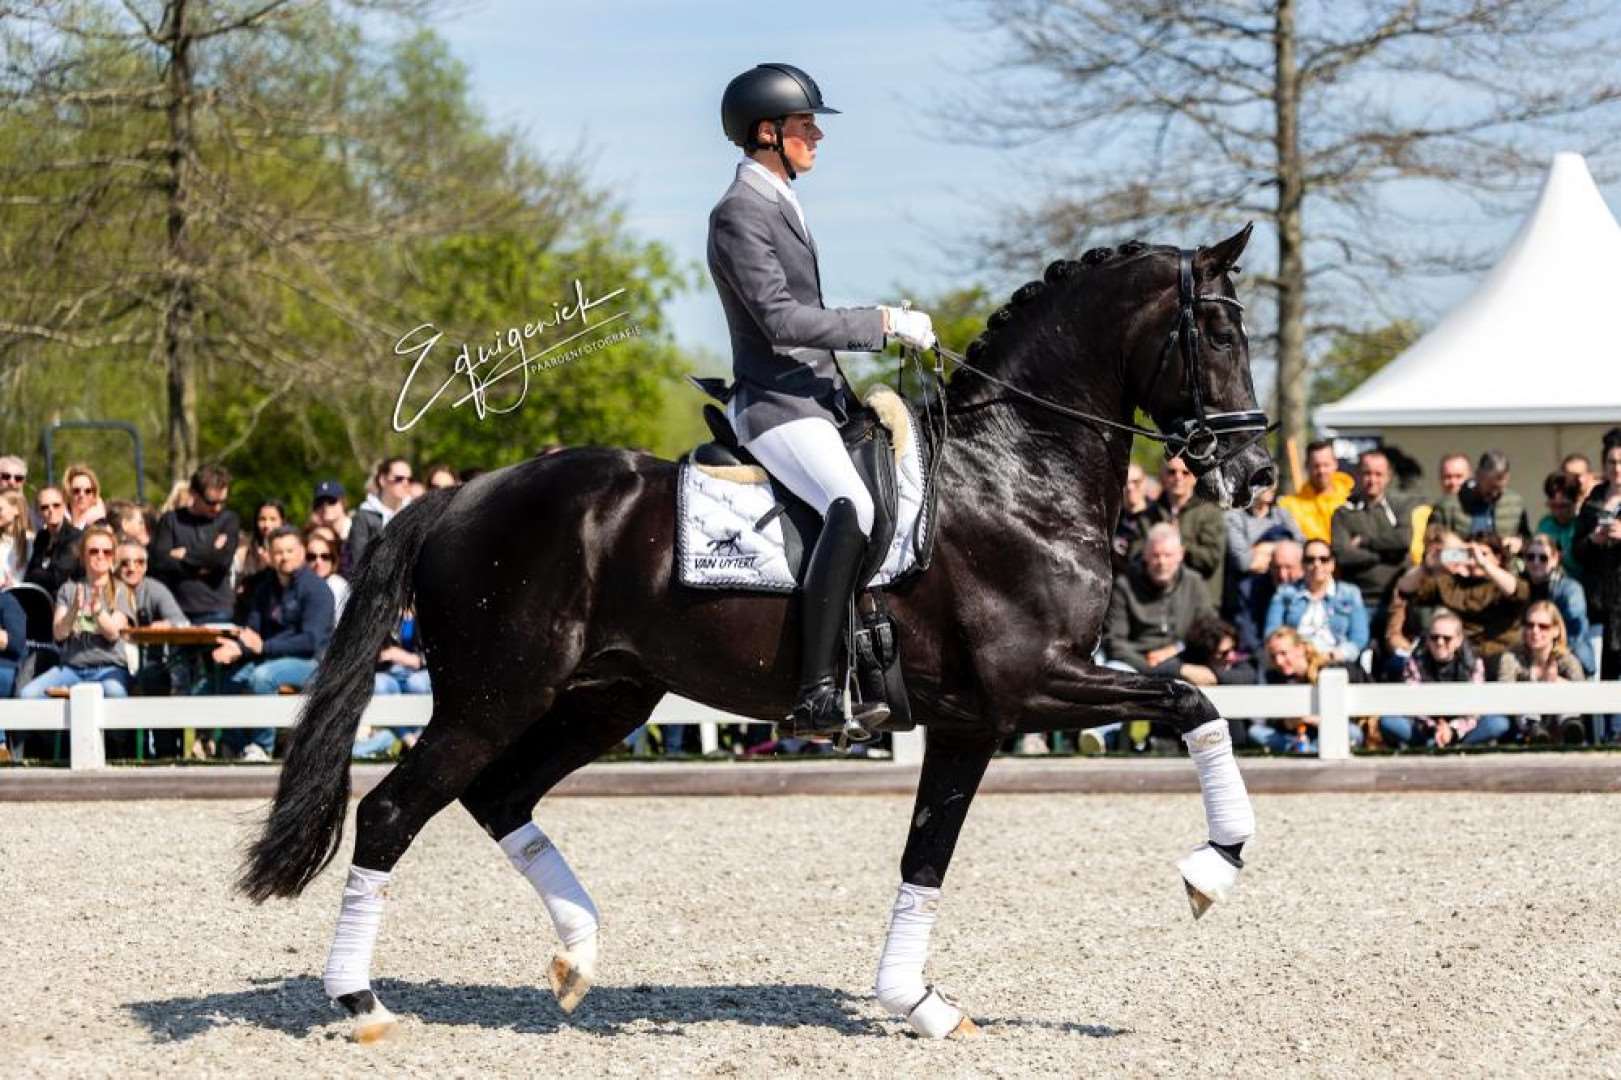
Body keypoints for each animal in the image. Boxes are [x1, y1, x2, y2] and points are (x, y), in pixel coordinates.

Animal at [239, 224, 1274, 1043]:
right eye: (1220, 331)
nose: (1256, 474)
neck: (1013, 475)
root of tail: (461, 496)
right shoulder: (1035, 682)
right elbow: (1194, 699)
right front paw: (1213, 866)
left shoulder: (971, 720)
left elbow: (925, 857)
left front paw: (916, 1002)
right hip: (496, 698)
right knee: (391, 812)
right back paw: (361, 1003)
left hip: (604, 698)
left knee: (499, 798)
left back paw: (577, 957)